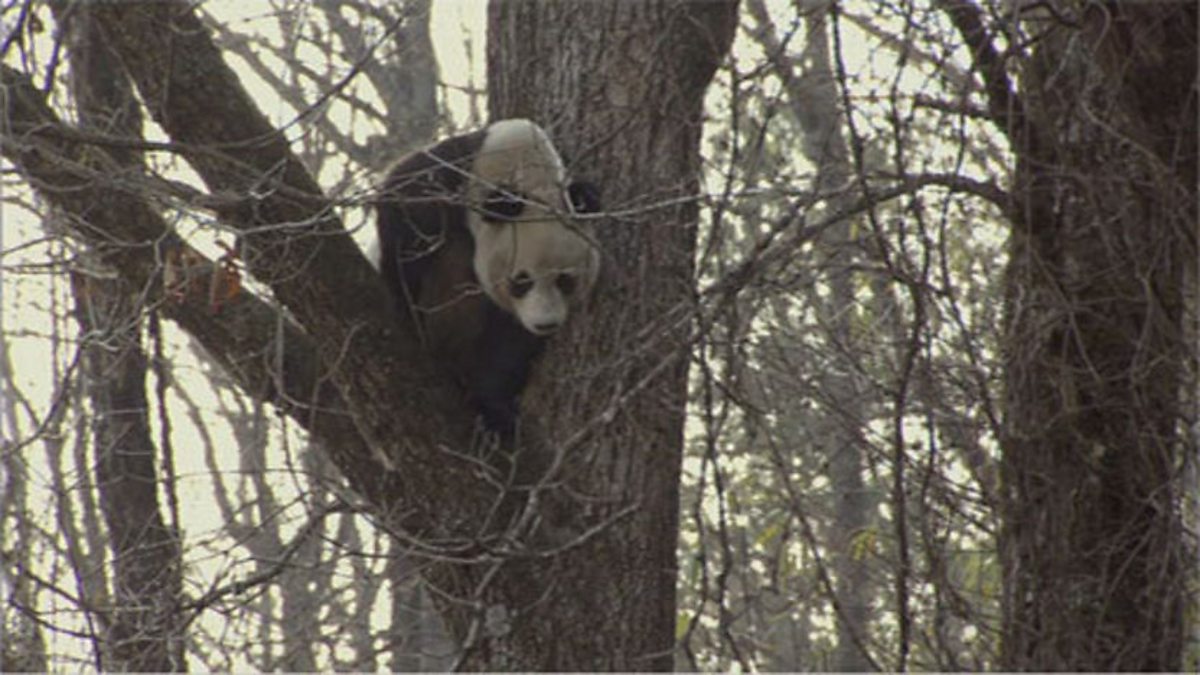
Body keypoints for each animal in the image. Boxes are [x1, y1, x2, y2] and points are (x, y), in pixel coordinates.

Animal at [372, 119, 601, 437]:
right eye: (522, 282)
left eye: (565, 281)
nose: (546, 324)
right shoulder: (440, 182)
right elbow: (402, 230)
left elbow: (510, 343)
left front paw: (495, 410)